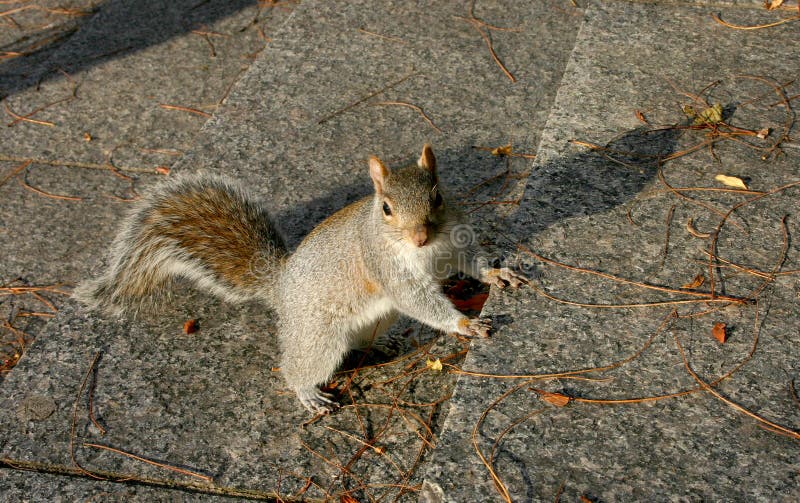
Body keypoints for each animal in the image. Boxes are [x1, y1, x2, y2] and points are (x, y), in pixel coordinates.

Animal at [74, 144, 527, 414]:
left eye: (438, 196)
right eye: (385, 208)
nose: (419, 236)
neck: (423, 250)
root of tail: (281, 285)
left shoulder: (453, 242)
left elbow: (470, 261)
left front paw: (497, 272)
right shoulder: (387, 268)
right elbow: (419, 300)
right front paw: (466, 323)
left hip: (373, 320)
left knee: (356, 344)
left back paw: (379, 345)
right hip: (317, 335)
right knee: (297, 367)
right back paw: (308, 393)